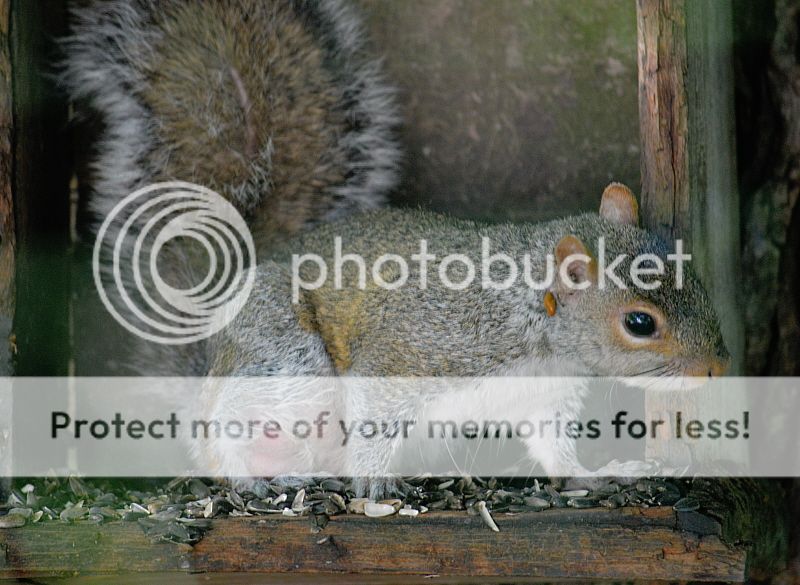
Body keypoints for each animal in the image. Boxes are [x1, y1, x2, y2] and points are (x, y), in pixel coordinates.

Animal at [62, 1, 730, 497]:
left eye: (696, 279)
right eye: (639, 323)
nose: (718, 369)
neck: (533, 325)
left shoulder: (544, 398)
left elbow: (554, 447)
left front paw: (594, 474)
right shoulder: (416, 353)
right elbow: (376, 416)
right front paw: (374, 488)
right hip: (287, 363)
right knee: (220, 440)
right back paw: (263, 479)